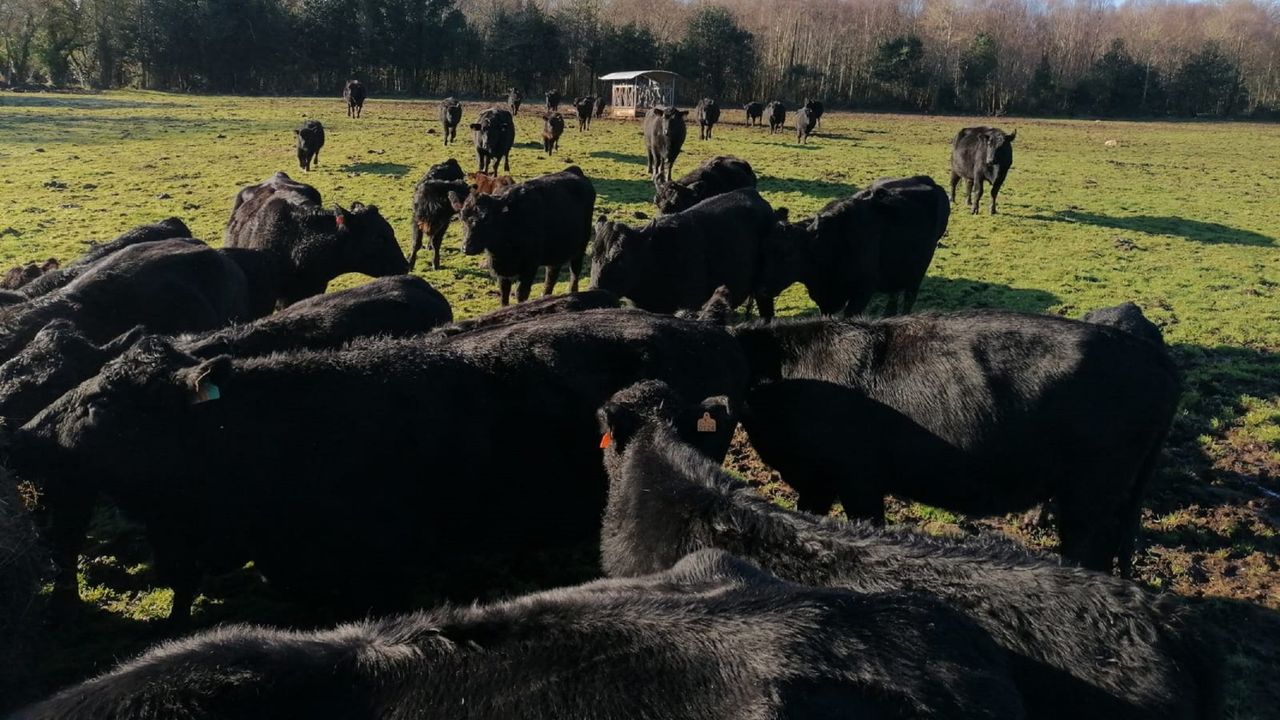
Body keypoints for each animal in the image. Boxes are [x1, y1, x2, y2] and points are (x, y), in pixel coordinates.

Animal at [449, 167, 595, 305]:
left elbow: (521, 293)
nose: (467, 248)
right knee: (552, 273)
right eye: (462, 218)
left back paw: (572, 291)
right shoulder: (502, 271)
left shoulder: (529, 266)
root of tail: (574, 171)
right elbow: (504, 295)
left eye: (487, 218)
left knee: (574, 270)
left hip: (581, 244)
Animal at [759, 175, 949, 316]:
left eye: (788, 254)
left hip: (919, 267)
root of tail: (926, 180)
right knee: (894, 292)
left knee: (909, 296)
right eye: (765, 249)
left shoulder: (863, 292)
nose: (761, 288)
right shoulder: (825, 299)